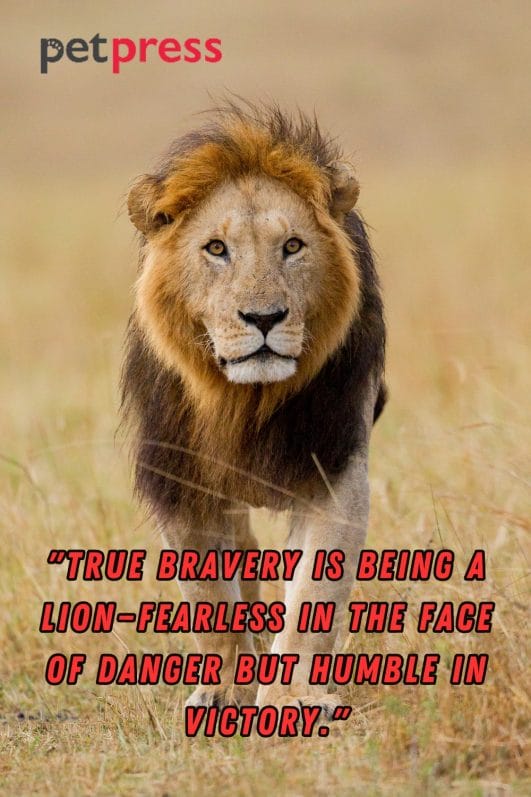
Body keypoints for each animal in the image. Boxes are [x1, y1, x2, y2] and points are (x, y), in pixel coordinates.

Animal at [121, 101, 386, 716]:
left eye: (292, 246)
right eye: (217, 249)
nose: (263, 318)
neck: (244, 400)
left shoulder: (335, 469)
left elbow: (315, 594)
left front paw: (290, 696)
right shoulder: (181, 479)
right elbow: (209, 599)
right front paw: (226, 690)